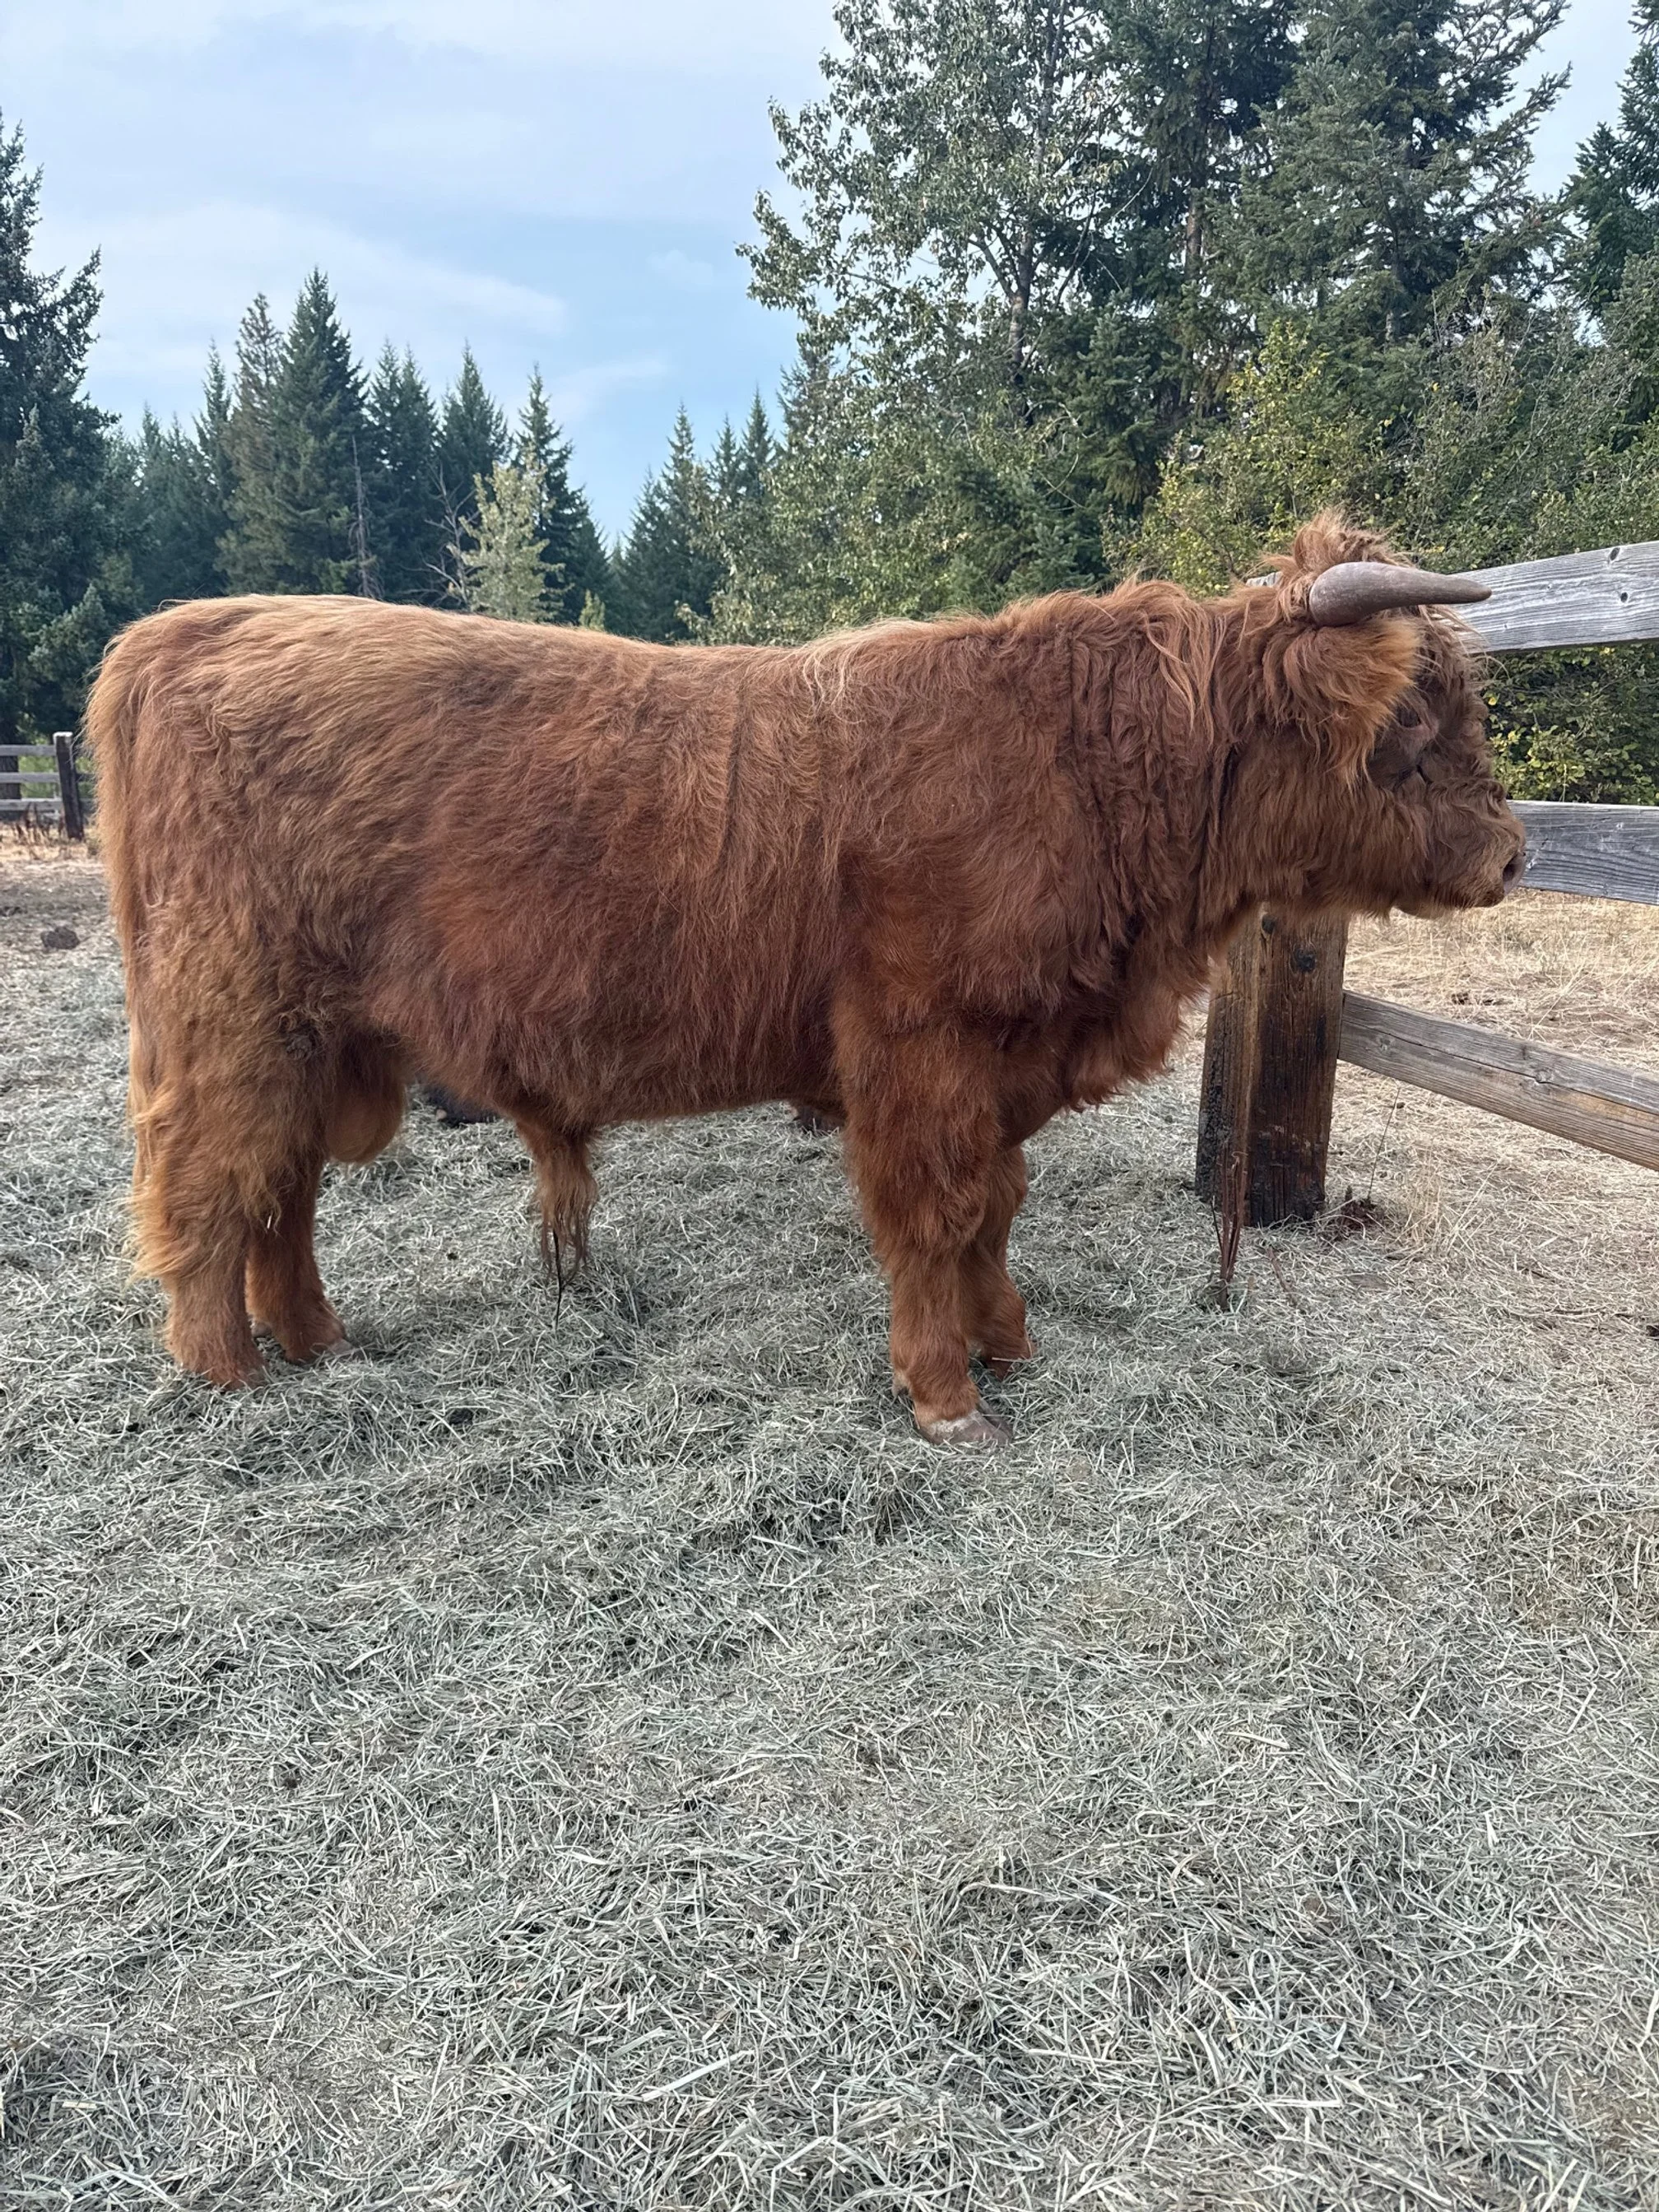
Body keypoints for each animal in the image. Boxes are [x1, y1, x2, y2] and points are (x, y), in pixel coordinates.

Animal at [87, 515, 1523, 1445]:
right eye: (1411, 722)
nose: (1512, 852)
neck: (1096, 768)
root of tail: (188, 630)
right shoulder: (920, 1050)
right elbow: (937, 1214)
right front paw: (947, 1396)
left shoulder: (1002, 1065)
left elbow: (996, 1208)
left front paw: (1009, 1341)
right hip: (236, 1027)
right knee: (212, 1190)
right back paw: (228, 1378)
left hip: (320, 1042)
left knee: (281, 1195)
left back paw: (316, 1343)